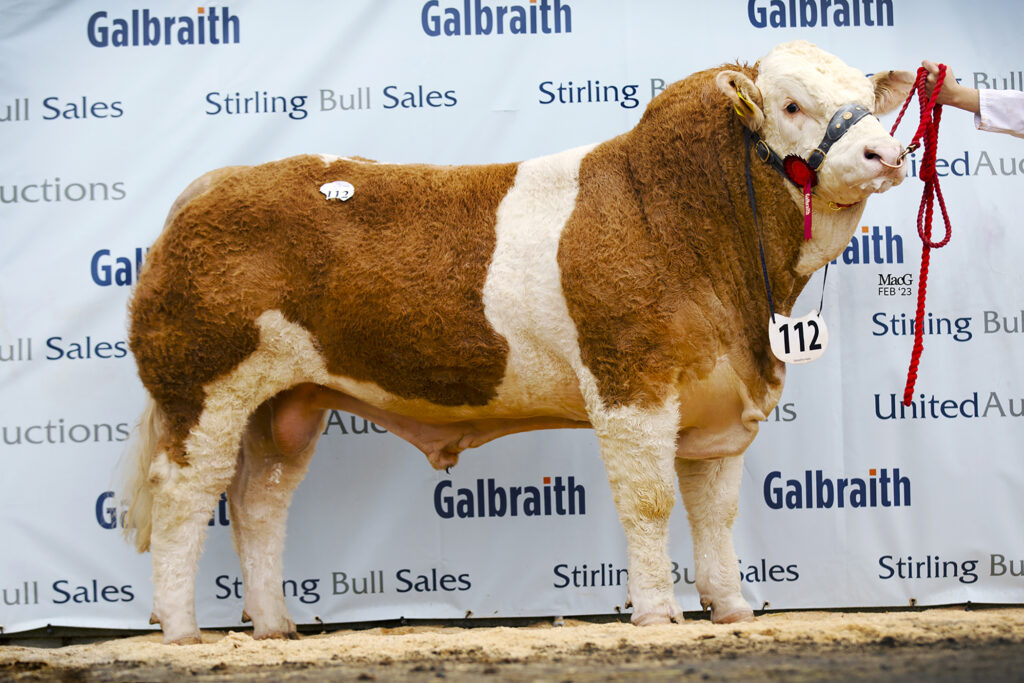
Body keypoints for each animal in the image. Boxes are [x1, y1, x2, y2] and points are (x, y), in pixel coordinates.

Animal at [123, 40, 914, 644]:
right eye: (792, 105)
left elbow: (713, 510)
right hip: (202, 388)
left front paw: (734, 609)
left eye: (868, 99)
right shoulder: (630, 384)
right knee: (185, 494)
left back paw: (274, 626)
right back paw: (182, 630)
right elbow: (650, 501)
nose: (886, 151)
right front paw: (657, 614)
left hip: (286, 403)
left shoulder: (718, 398)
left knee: (259, 500)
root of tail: (208, 188)